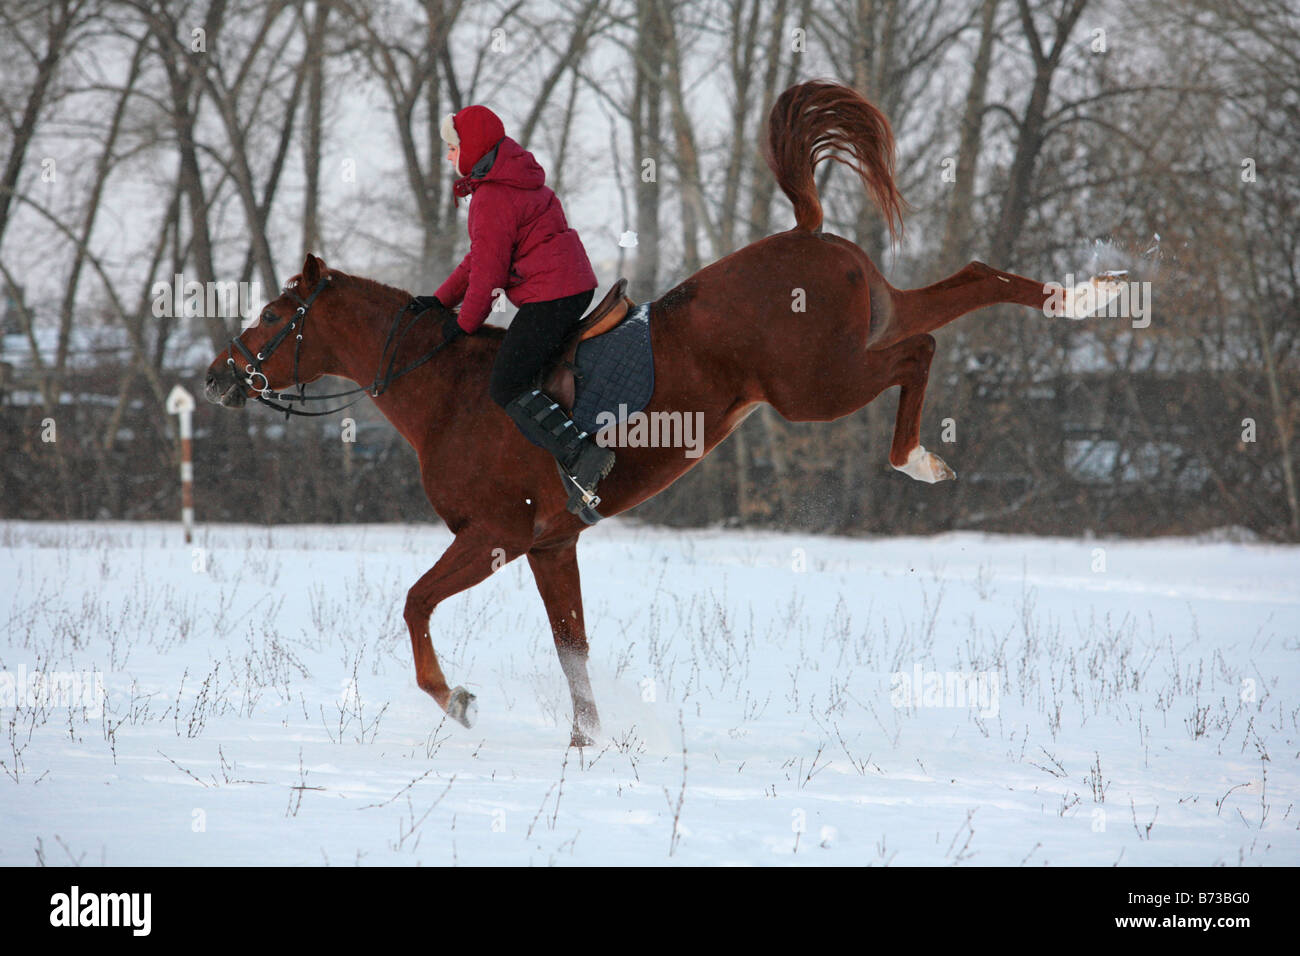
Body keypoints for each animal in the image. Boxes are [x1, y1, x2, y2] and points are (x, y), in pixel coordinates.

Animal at [204, 80, 1119, 747]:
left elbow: (416, 603)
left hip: (817, 384)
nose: (218, 375)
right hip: (871, 321)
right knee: (969, 283)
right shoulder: (551, 545)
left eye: (273, 313)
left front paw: (455, 700)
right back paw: (1082, 297)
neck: (446, 390)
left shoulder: (495, 536)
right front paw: (587, 741)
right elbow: (571, 648)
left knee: (920, 353)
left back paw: (917, 458)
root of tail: (807, 233)